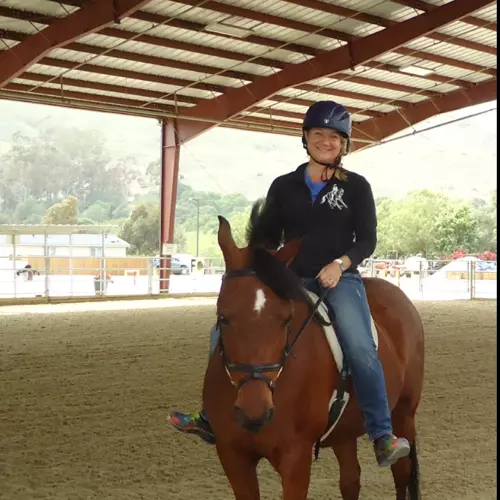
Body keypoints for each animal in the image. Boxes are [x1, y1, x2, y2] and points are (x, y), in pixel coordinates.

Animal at [203, 205, 426, 498]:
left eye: (286, 319)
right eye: (223, 317)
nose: (254, 412)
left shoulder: (295, 458)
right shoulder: (233, 457)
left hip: (404, 413)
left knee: (401, 473)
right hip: (346, 430)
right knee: (350, 479)